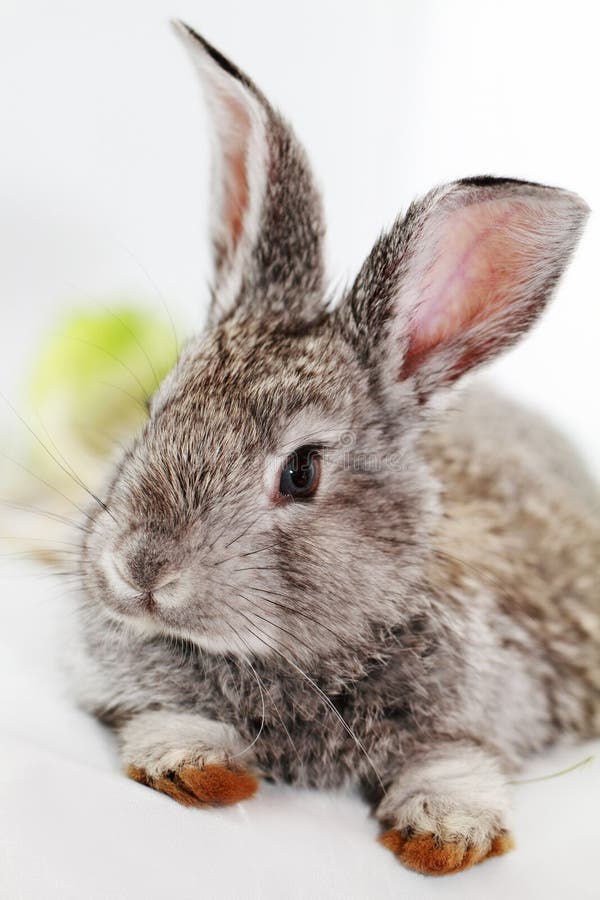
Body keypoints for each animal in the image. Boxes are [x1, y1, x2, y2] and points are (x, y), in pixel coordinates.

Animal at [71, 21, 600, 877]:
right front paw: (196, 766)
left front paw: (442, 837)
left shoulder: (495, 706)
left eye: (302, 472)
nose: (142, 567)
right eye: (155, 408)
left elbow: (457, 764)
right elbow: (160, 719)